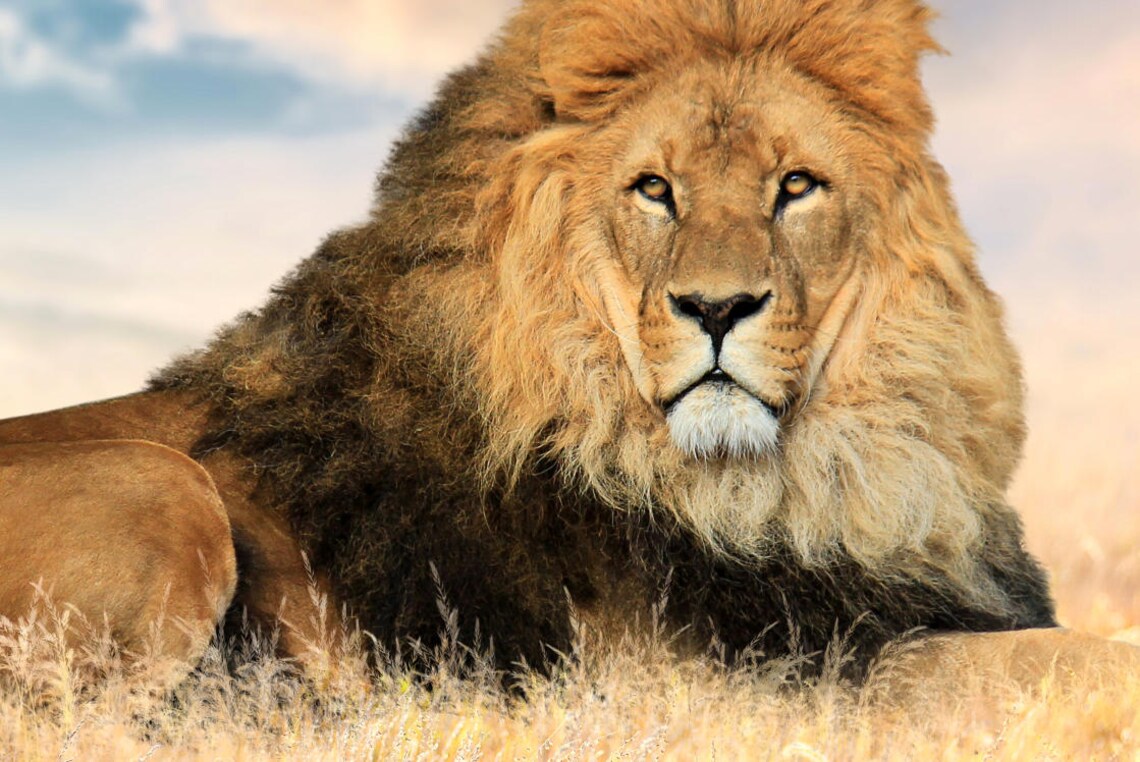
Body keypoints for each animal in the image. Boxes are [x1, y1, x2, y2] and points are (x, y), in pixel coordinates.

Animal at [2, 0, 1137, 692]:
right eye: (654, 188)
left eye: (796, 186)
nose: (718, 307)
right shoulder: (760, 678)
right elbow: (1054, 658)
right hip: (162, 491)